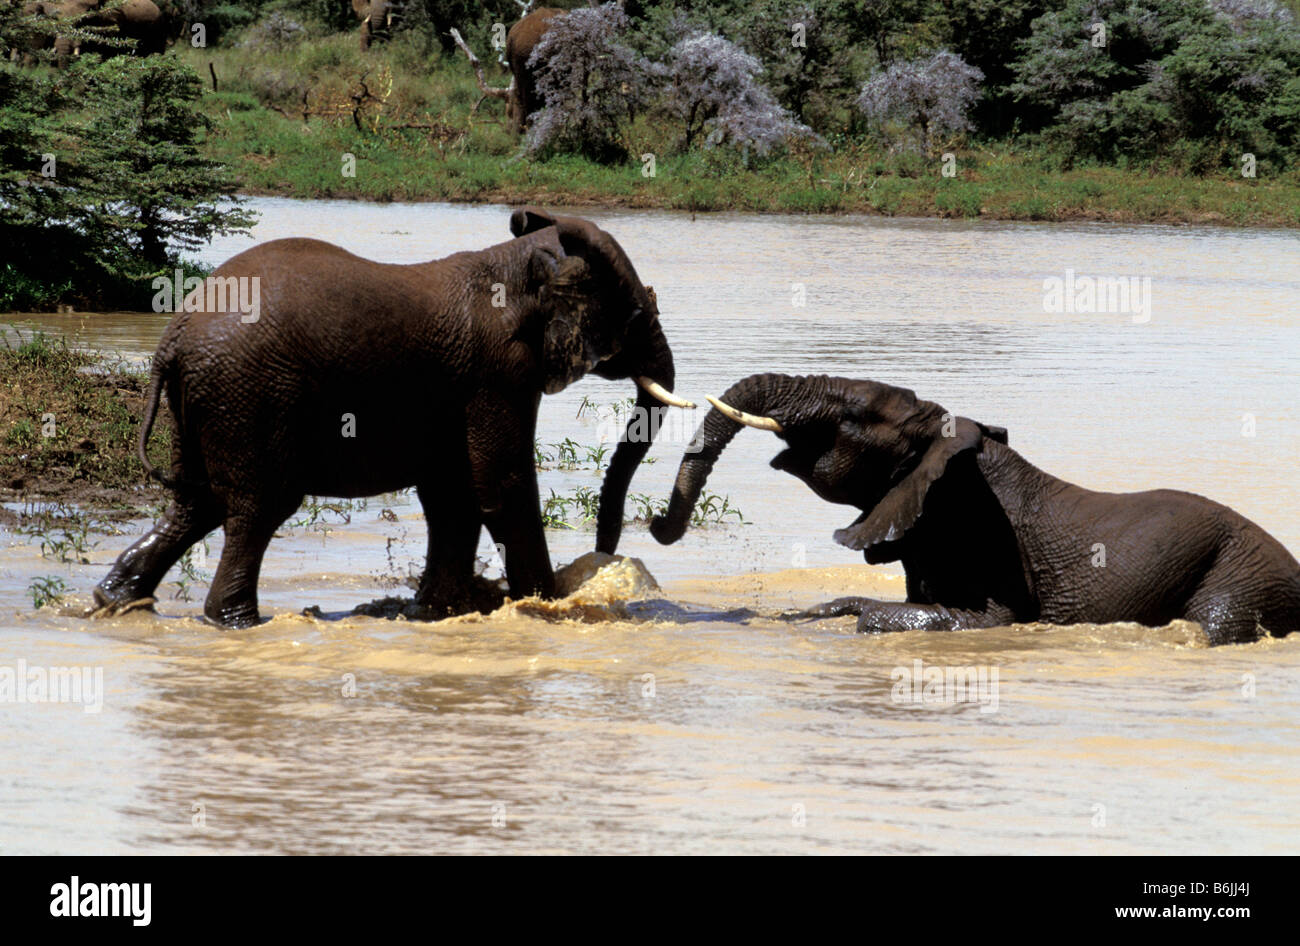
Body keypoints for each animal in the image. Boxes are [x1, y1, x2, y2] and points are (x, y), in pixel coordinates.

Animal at [90, 207, 693, 629]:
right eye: (635, 314)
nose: (643, 532)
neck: (516, 261)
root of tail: (174, 336)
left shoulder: (464, 384)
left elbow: (454, 494)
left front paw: (438, 611)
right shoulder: (498, 372)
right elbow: (500, 486)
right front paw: (545, 605)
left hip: (209, 398)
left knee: (196, 502)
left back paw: (115, 599)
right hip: (251, 392)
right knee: (258, 507)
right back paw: (236, 622)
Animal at [650, 373, 1300, 646]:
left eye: (852, 415)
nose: (657, 525)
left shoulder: (981, 533)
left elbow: (985, 619)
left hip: (1242, 572)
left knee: (1215, 625)